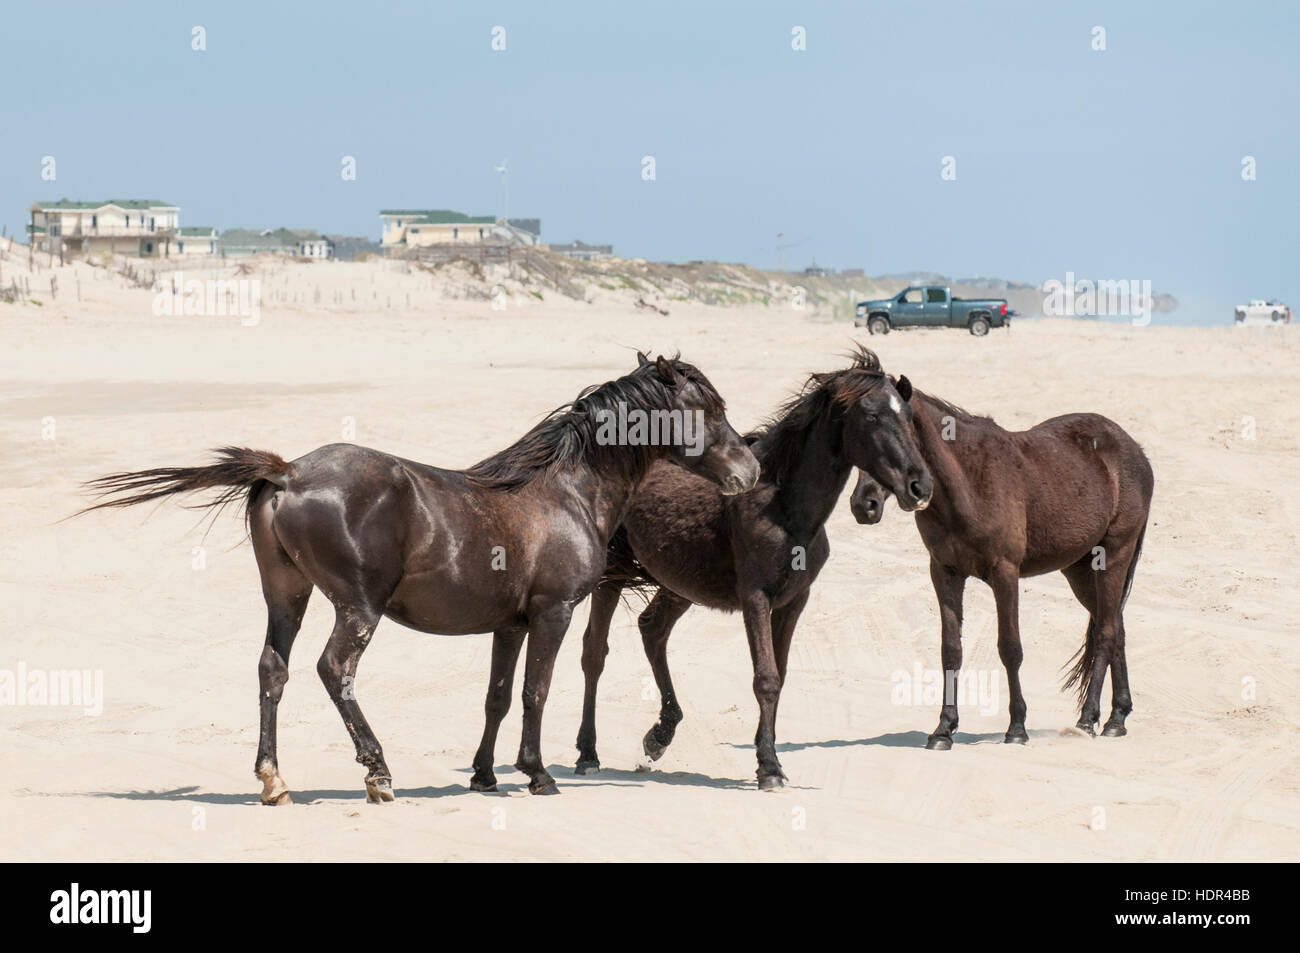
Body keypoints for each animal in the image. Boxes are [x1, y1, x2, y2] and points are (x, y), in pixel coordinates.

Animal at [81, 354, 760, 803]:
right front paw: (537, 774)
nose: (750, 471)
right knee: (335, 670)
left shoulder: (510, 625)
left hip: (288, 596)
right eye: (710, 410)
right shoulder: (553, 613)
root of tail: (290, 472)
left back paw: (274, 781)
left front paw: (484, 775)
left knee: (273, 670)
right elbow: (536, 692)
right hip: (358, 606)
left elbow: (497, 696)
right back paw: (376, 772)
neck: (567, 492)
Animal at [574, 348, 933, 789]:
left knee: (652, 629)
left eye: (908, 416)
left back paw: (660, 735)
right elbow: (765, 678)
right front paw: (768, 768)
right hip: (614, 574)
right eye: (871, 416)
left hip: (680, 582)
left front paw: (771, 758)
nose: (920, 487)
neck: (782, 506)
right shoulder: (755, 599)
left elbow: (780, 675)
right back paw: (588, 753)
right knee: (594, 652)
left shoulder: (793, 602)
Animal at [848, 388, 1153, 748]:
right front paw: (943, 729)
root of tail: (1135, 450)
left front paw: (1017, 727)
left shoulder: (1005, 573)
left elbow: (1010, 648)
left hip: (1114, 555)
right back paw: (1117, 716)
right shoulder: (944, 572)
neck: (967, 483)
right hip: (1078, 570)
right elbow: (950, 650)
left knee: (1106, 631)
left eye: (901, 435)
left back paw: (1089, 719)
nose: (864, 504)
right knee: (1115, 626)